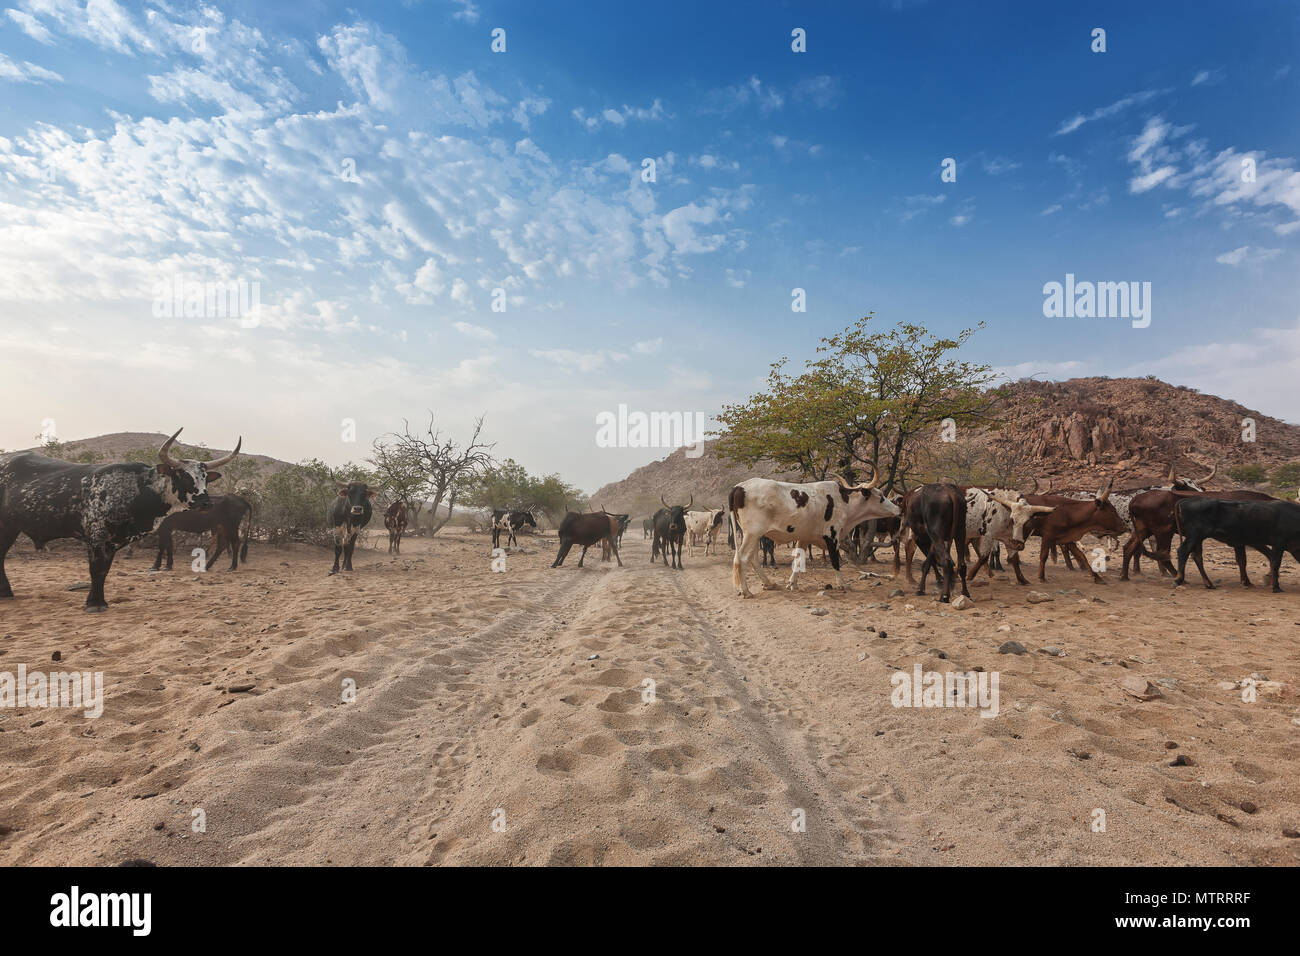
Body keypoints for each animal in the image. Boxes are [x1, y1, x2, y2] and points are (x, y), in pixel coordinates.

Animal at [0, 429, 239, 611]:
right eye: (182, 476)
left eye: (205, 477)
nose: (205, 503)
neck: (138, 489)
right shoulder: (97, 537)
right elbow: (96, 570)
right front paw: (94, 604)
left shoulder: (113, 542)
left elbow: (104, 571)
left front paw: (99, 601)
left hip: (11, 527)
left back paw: (6, 592)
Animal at [728, 472, 898, 597]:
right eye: (881, 496)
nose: (897, 509)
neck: (842, 500)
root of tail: (739, 486)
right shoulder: (831, 536)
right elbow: (835, 561)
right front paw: (842, 584)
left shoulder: (804, 538)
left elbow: (798, 560)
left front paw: (792, 583)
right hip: (752, 534)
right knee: (741, 558)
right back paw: (746, 591)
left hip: (755, 536)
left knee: (753, 558)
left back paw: (769, 584)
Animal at [1124, 488, 1276, 581]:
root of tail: (1136, 499)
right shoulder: (1250, 540)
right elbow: (1264, 556)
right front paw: (1267, 577)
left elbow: (1244, 560)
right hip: (1164, 532)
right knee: (1164, 555)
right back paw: (1179, 577)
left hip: (1144, 530)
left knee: (1128, 548)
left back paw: (1124, 576)